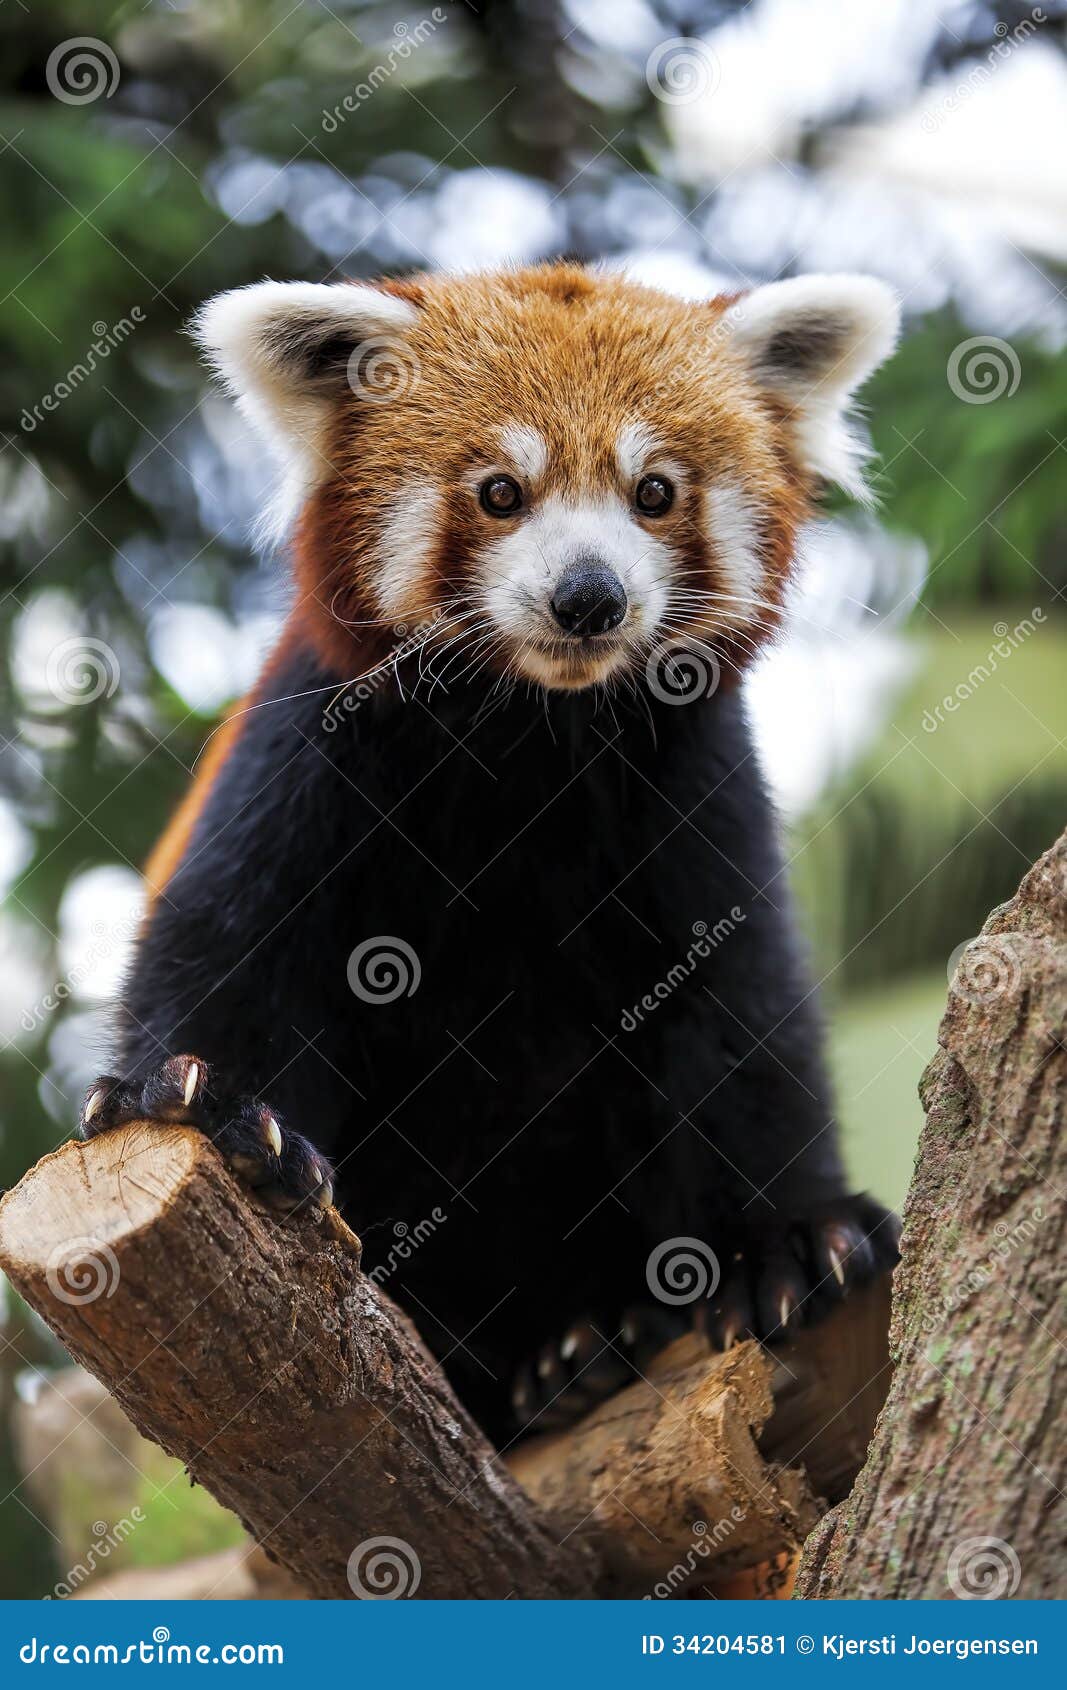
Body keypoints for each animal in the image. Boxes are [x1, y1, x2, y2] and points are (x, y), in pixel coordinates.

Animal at [81, 262, 901, 1445]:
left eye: (654, 491)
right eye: (501, 492)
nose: (588, 594)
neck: (534, 736)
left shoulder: (693, 783)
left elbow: (738, 1009)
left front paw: (788, 1238)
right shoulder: (320, 746)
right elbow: (231, 940)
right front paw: (203, 1102)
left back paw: (587, 1342)